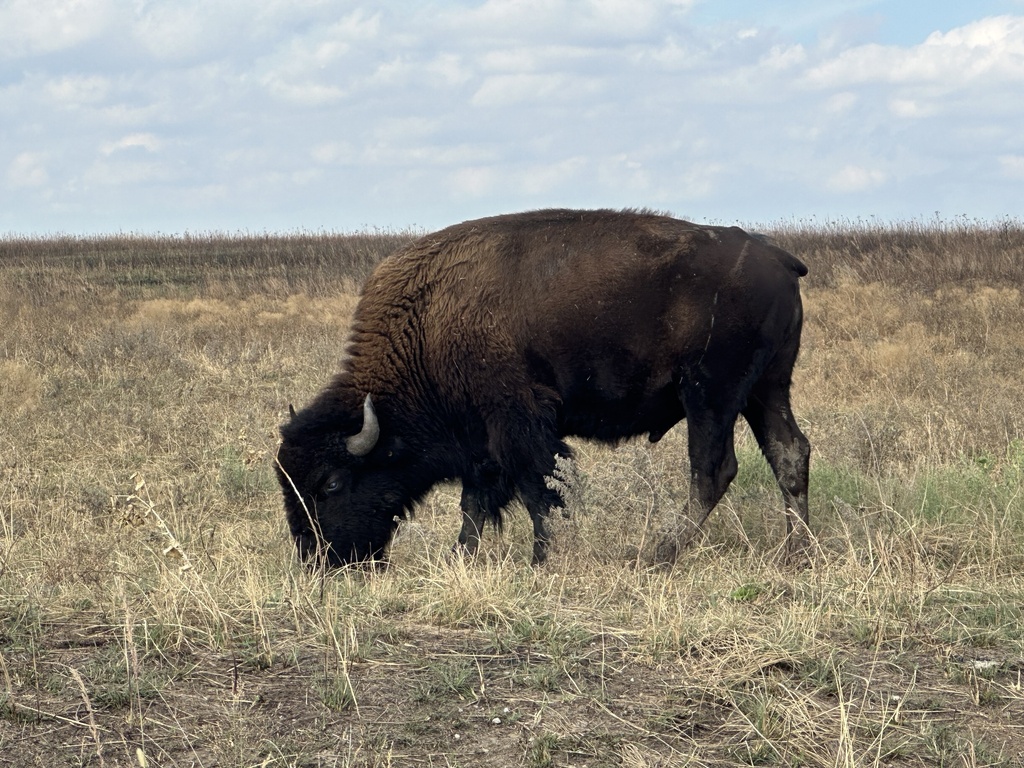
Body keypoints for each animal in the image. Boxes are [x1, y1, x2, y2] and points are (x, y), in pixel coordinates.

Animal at [276, 209, 810, 567]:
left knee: (712, 470)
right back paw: (796, 555)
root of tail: (779, 258)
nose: (318, 559)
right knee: (789, 452)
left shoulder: (519, 422)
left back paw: (657, 556)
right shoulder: (481, 437)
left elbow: (539, 491)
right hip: (765, 389)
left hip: (710, 394)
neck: (425, 322)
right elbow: (476, 502)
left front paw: (542, 559)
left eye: (330, 483)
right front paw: (461, 558)